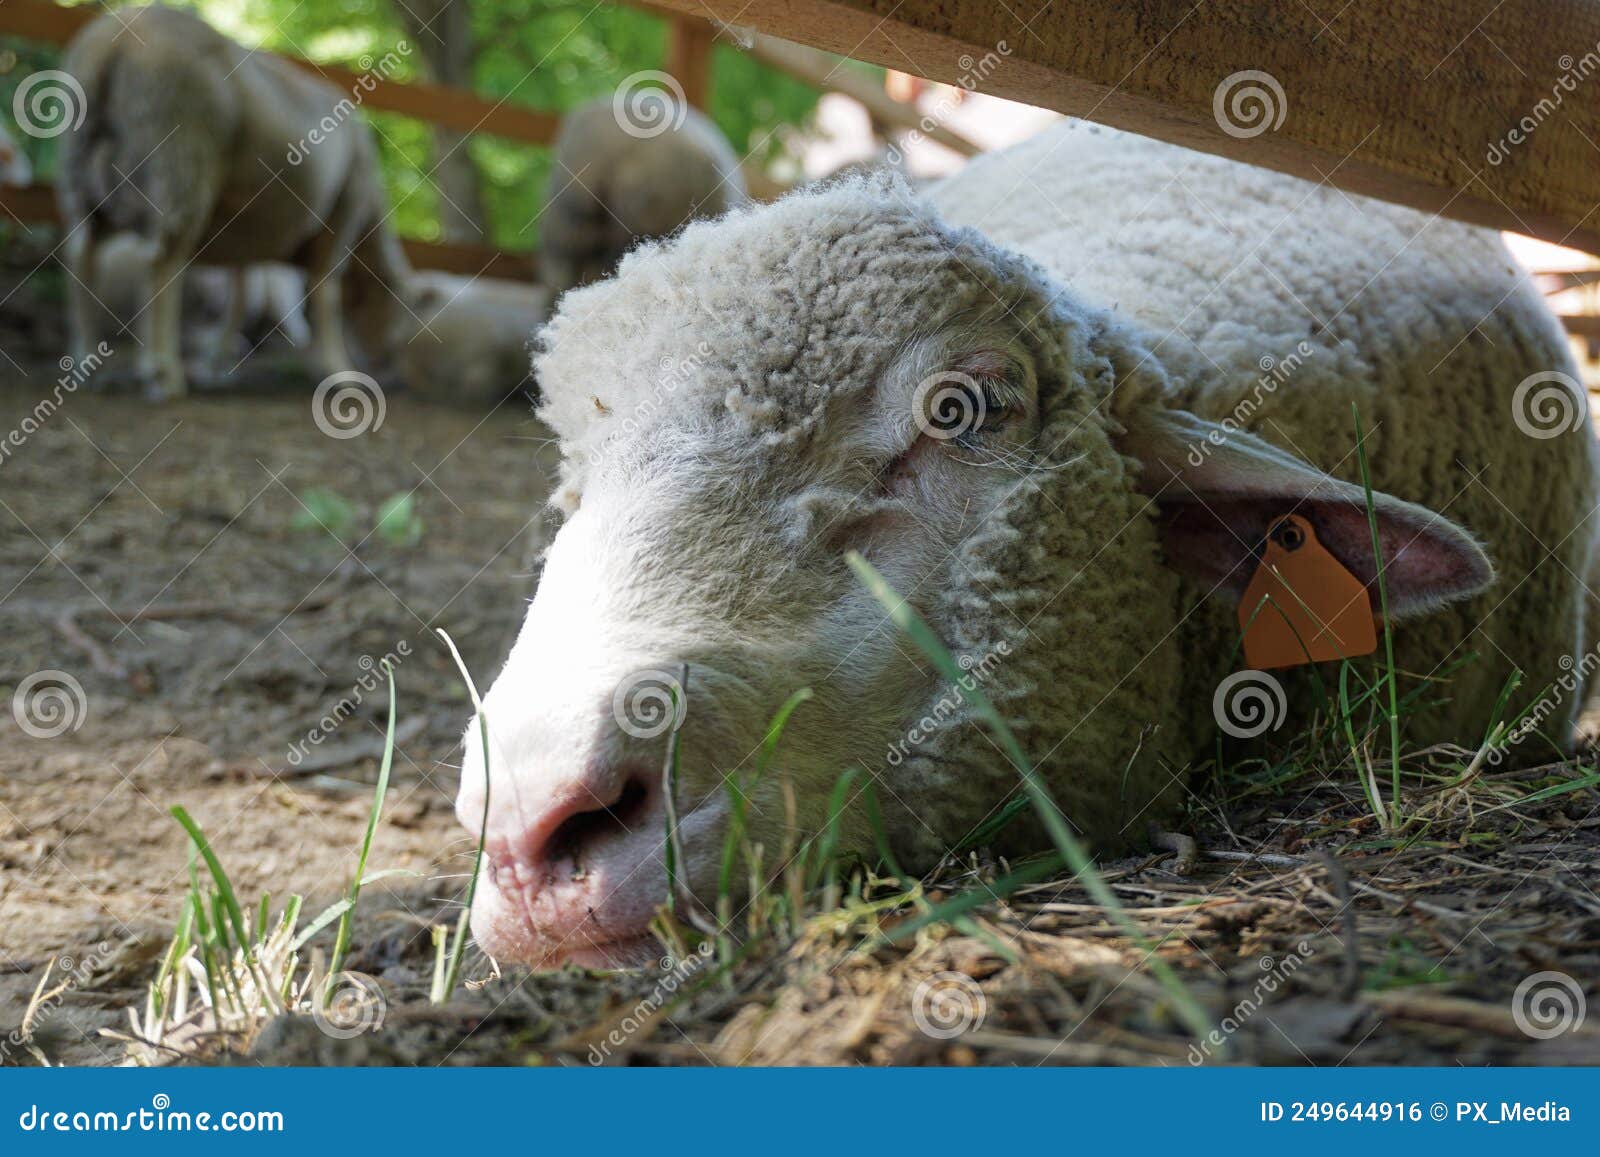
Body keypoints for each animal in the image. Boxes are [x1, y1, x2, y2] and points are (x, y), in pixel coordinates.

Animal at [56, 6, 412, 400]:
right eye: (394, 306)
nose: (390, 367)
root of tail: (112, 41)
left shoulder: (247, 229)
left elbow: (240, 295)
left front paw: (217, 363)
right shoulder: (342, 213)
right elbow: (324, 295)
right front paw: (338, 370)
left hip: (84, 171)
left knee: (82, 256)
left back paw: (85, 360)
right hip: (180, 156)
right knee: (162, 264)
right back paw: (163, 372)